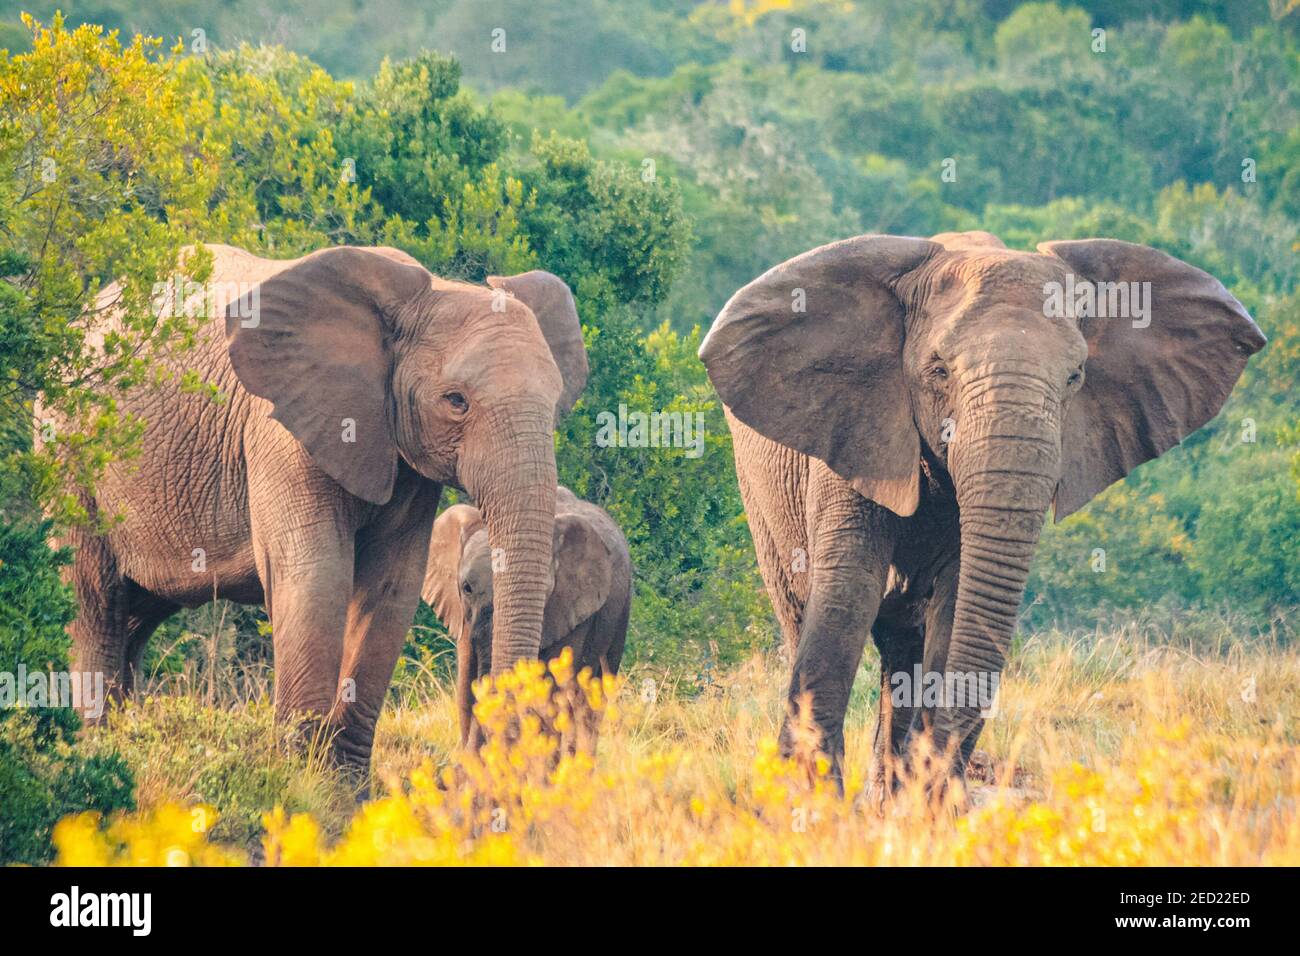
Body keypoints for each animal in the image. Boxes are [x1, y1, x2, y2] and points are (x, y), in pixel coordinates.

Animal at [55, 242, 588, 782]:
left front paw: (345, 788)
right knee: (97, 599)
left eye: (555, 404)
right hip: (71, 453)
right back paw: (98, 752)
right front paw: (300, 783)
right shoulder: (281, 432)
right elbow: (316, 577)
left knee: (136, 615)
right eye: (455, 401)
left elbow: (391, 588)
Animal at [422, 486, 632, 750]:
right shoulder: (462, 614)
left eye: (541, 591)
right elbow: (465, 686)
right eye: (466, 588)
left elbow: (553, 685)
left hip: (622, 609)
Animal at [698, 230, 1265, 797]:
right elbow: (846, 594)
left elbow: (954, 605)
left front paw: (926, 806)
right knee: (804, 613)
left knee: (904, 647)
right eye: (938, 371)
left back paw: (888, 798)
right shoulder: (855, 435)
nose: (940, 779)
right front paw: (809, 805)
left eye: (1075, 376)